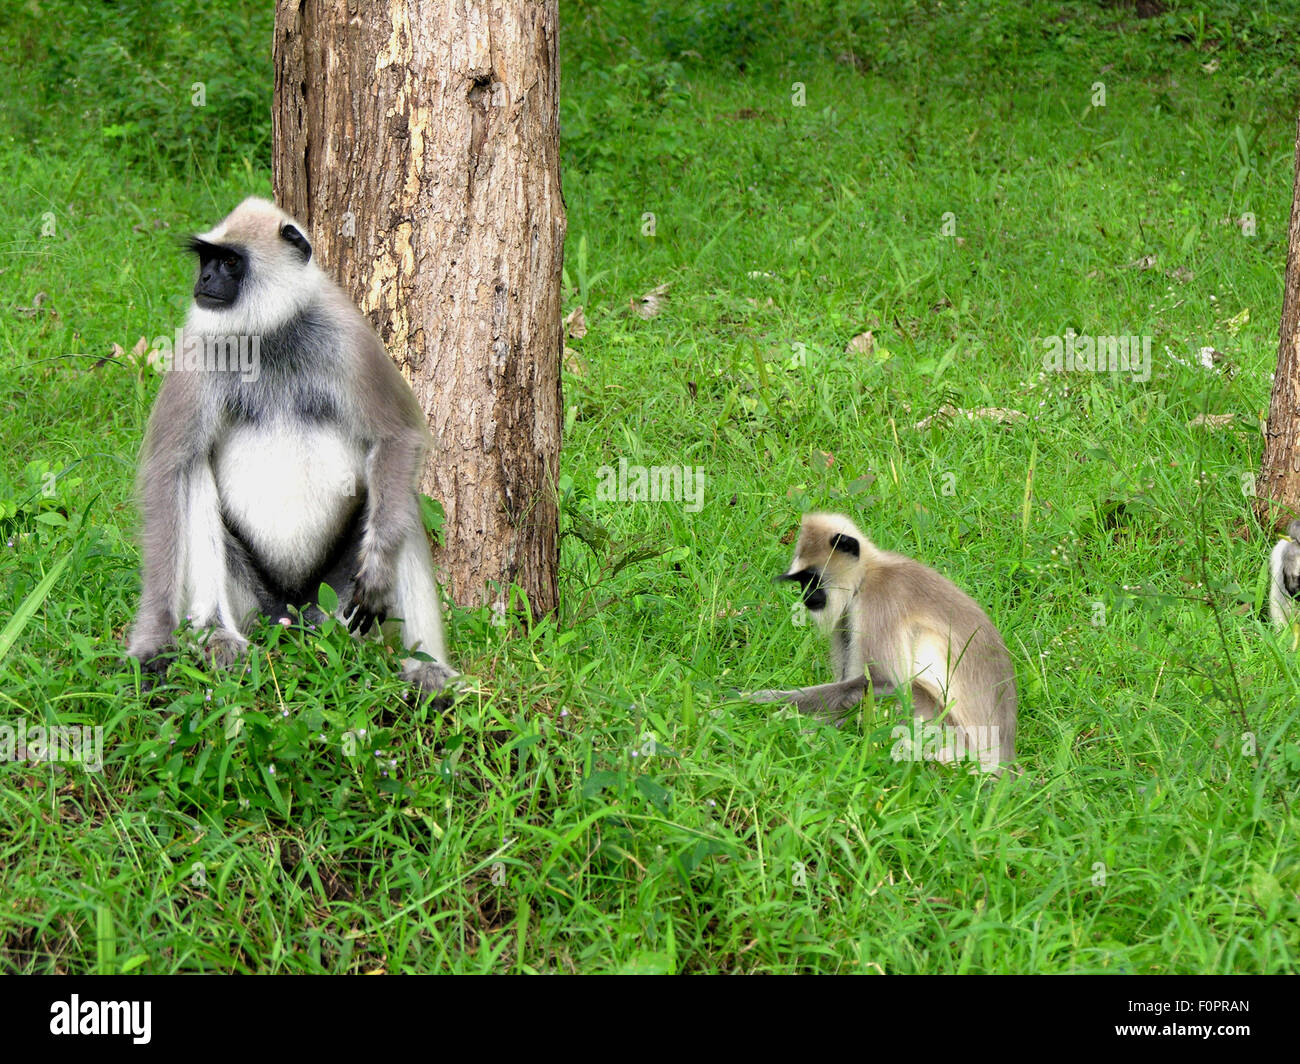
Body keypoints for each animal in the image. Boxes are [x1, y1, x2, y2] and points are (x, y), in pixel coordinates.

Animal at [126, 197, 456, 703]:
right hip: (255, 601)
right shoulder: (197, 347)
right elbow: (168, 470)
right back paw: (217, 635)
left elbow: (398, 436)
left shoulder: (348, 337)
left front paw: (380, 573)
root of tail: (292, 615)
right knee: (193, 470)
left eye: (229, 262)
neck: (269, 335)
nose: (205, 281)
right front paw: (152, 642)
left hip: (335, 606)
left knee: (403, 505)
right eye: (206, 260)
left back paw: (427, 669)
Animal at [750, 512, 1017, 770]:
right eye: (801, 581)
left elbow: (886, 682)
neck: (867, 573)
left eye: (813, 579)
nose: (807, 596)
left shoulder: (880, 600)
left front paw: (756, 702)